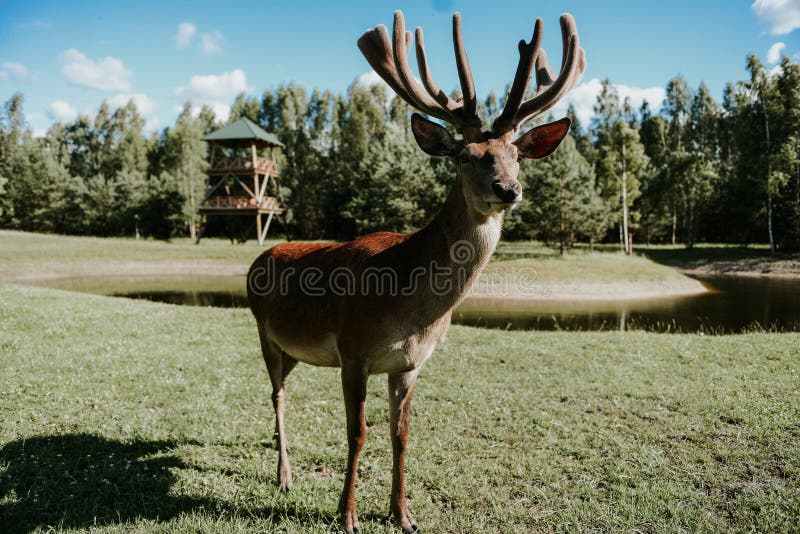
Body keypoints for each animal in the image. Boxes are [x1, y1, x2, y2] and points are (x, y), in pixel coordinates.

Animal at [246, 10, 585, 533]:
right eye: (467, 156)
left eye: (516, 155)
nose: (508, 188)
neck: (410, 307)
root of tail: (258, 258)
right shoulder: (353, 351)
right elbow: (358, 433)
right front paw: (347, 516)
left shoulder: (410, 364)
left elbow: (401, 434)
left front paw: (402, 513)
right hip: (265, 332)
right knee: (276, 395)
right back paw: (283, 476)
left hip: (295, 349)